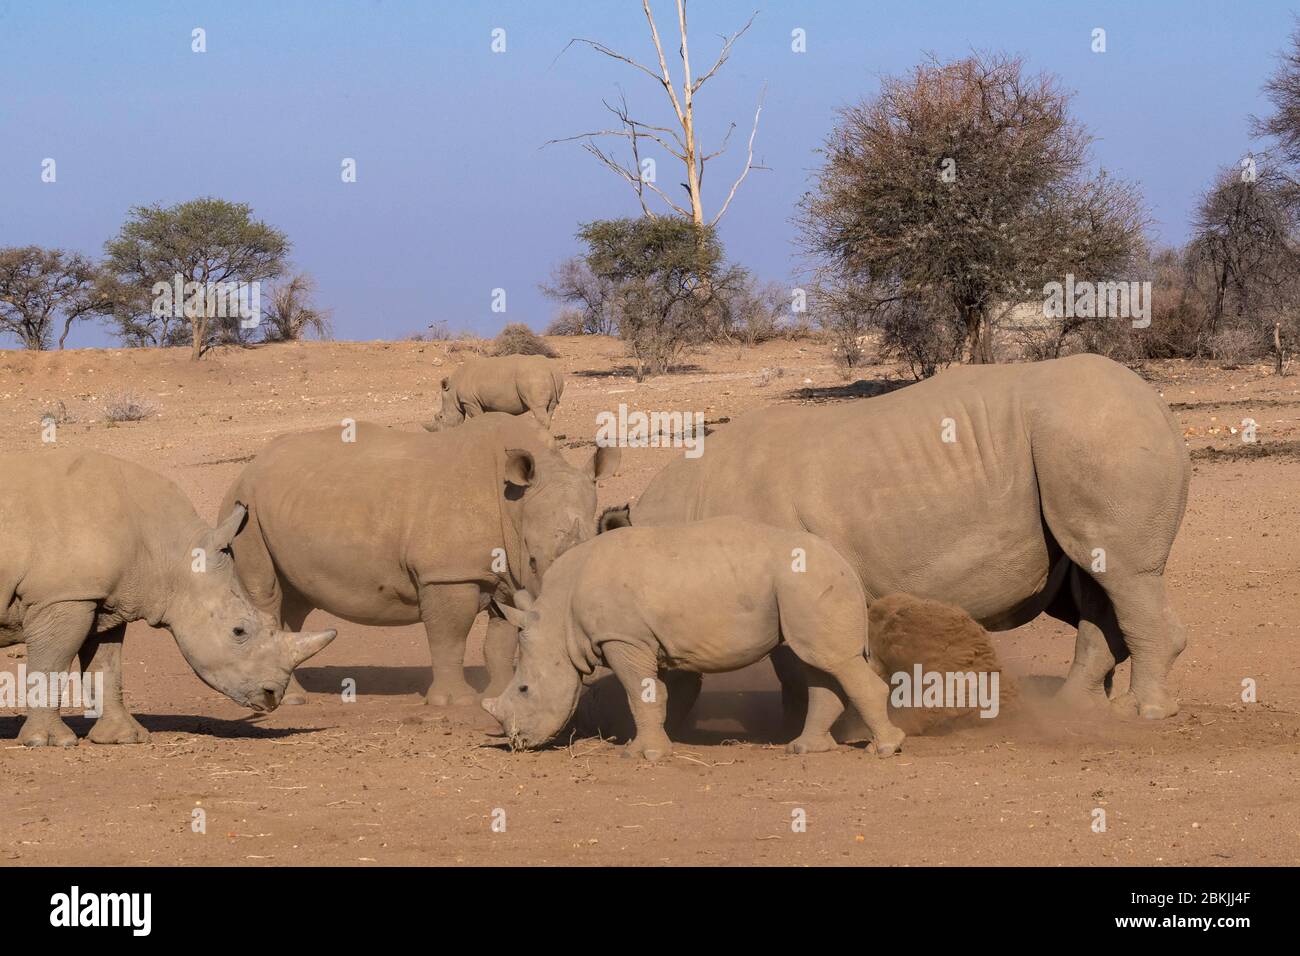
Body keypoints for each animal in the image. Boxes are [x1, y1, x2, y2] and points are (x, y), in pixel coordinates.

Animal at [0, 450, 337, 747]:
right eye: (239, 631)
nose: (272, 696)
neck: (169, 550)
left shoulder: (105, 600)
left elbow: (107, 666)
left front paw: (125, 738)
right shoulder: (62, 596)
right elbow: (52, 663)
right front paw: (49, 741)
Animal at [221, 414, 618, 706]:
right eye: (535, 560)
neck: (515, 504)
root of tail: (248, 467)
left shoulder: (506, 573)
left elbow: (500, 639)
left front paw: (498, 694)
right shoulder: (447, 574)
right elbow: (450, 637)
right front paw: (454, 703)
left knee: (295, 602)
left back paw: (292, 693)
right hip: (246, 508)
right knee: (266, 594)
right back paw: (292, 701)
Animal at [425, 355, 565, 431]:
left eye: (440, 417)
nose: (443, 435)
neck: (452, 391)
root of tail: (550, 368)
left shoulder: (469, 401)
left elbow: (477, 418)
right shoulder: (484, 402)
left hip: (532, 376)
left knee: (538, 408)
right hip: (551, 376)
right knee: (550, 409)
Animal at [484, 517, 905, 761]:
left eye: (523, 689)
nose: (517, 743)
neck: (558, 620)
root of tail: (846, 564)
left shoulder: (623, 639)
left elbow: (640, 694)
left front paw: (643, 755)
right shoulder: (649, 642)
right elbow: (658, 695)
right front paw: (656, 745)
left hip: (809, 580)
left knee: (834, 662)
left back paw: (886, 748)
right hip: (803, 586)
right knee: (818, 661)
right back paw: (805, 749)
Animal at [600, 354, 1191, 721]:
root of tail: (1161, 406)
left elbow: (793, 662)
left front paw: (802, 725)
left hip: (1098, 433)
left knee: (1124, 575)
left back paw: (1144, 713)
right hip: (1085, 441)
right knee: (1092, 585)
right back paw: (1076, 711)